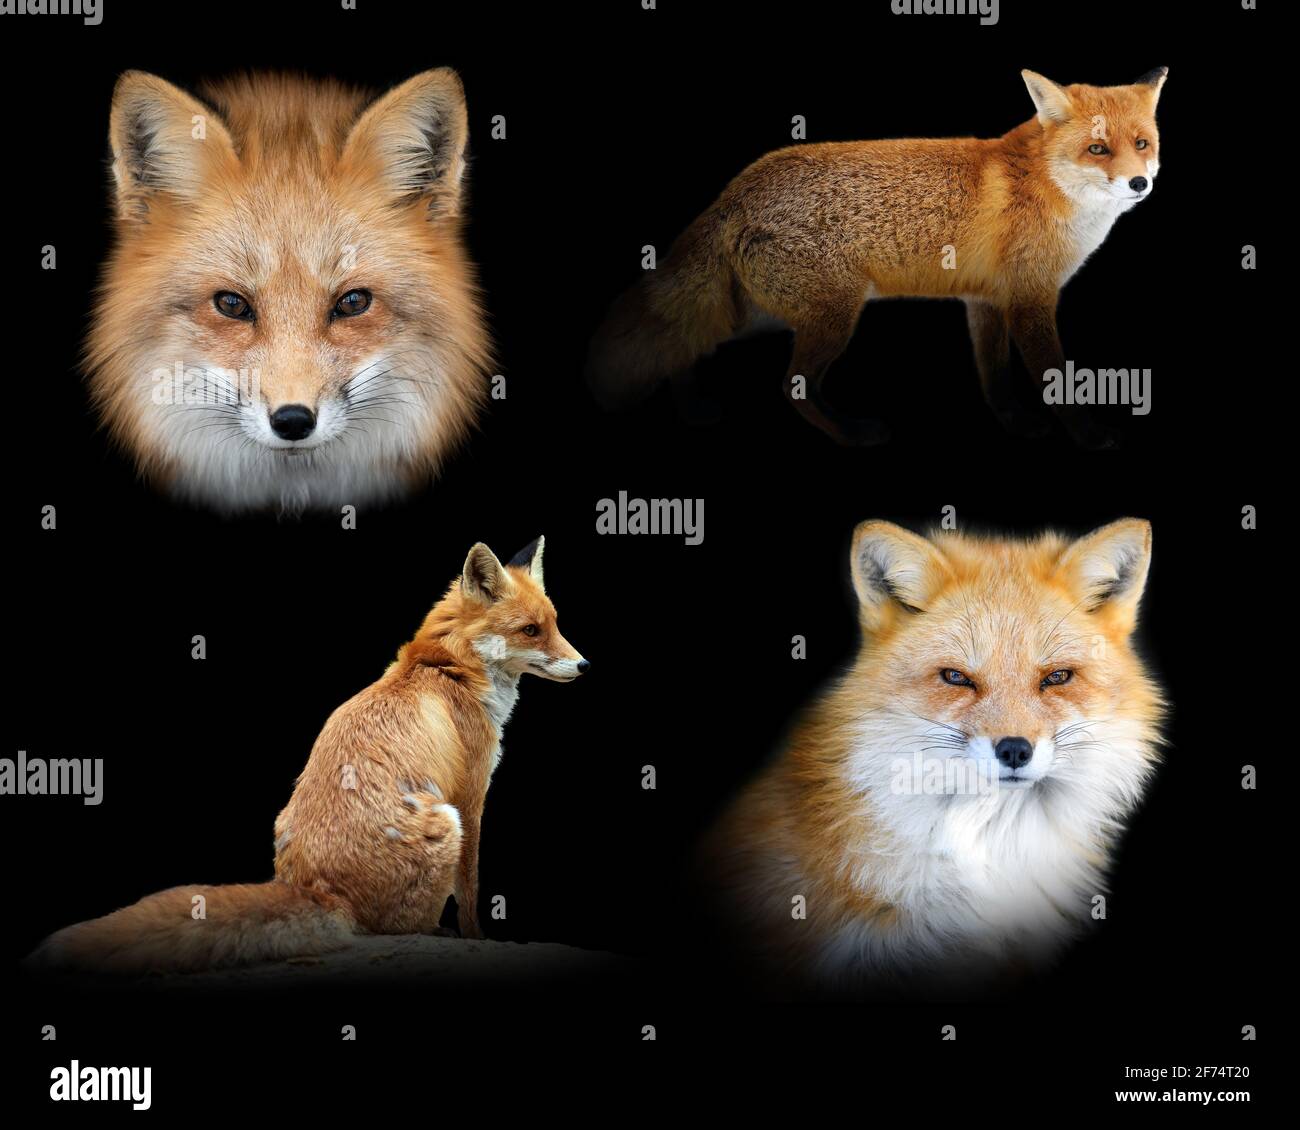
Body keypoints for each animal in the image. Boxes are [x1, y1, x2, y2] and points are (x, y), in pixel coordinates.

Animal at [27, 537, 588, 973]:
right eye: (531, 631)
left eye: (556, 624)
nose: (584, 665)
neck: (448, 669)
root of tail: (318, 890)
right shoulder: (471, 797)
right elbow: (470, 889)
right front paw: (477, 940)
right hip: (445, 822)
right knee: (392, 929)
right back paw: (432, 934)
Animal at [587, 68, 1168, 450]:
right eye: (1097, 149)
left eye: (1142, 144)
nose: (1140, 184)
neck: (1049, 185)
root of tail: (733, 193)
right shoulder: (1030, 300)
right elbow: (1056, 382)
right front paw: (1089, 435)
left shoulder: (985, 299)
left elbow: (995, 378)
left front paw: (1016, 425)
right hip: (832, 316)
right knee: (791, 384)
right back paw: (851, 433)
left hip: (765, 313)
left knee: (685, 344)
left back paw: (691, 409)